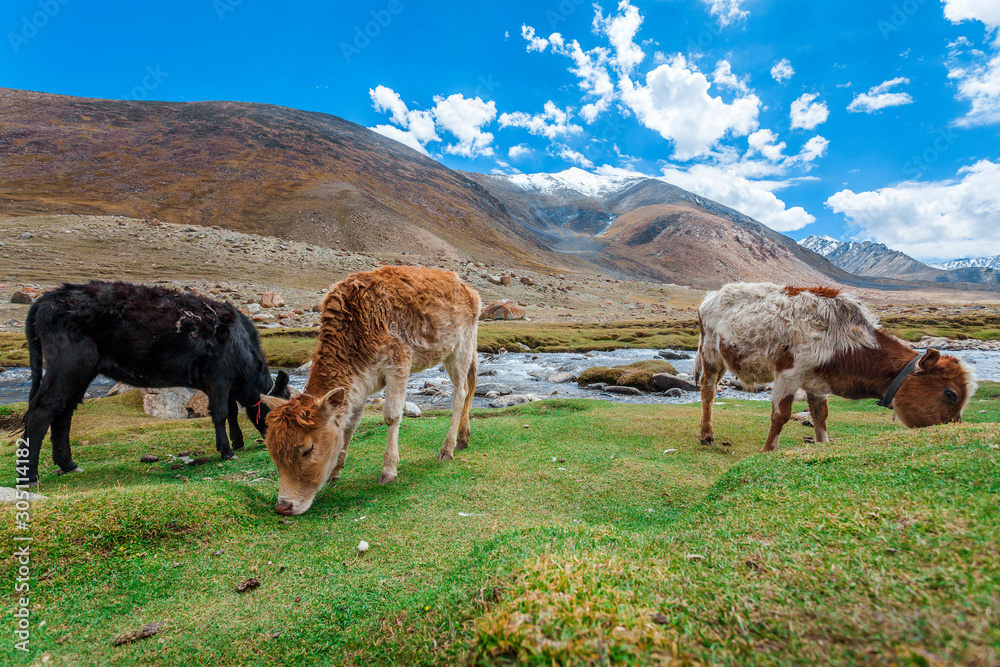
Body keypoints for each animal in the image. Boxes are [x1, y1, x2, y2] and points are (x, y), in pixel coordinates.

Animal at [20, 281, 291, 486]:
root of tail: (45, 300)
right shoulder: (219, 377)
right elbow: (221, 412)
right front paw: (227, 451)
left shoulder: (223, 383)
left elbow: (232, 411)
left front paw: (237, 442)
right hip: (68, 365)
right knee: (42, 409)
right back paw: (30, 475)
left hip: (83, 372)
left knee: (64, 412)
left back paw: (68, 464)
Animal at [258, 266, 480, 516]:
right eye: (272, 452)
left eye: (307, 449)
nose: (283, 506)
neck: (356, 330)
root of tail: (468, 289)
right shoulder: (360, 384)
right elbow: (351, 422)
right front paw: (336, 470)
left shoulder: (399, 363)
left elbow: (392, 415)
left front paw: (388, 470)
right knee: (470, 386)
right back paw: (463, 438)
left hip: (461, 347)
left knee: (461, 392)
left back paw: (447, 448)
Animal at [695, 283, 977, 451]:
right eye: (950, 394)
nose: (954, 429)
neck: (843, 340)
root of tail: (711, 295)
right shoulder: (788, 373)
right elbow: (781, 415)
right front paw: (768, 451)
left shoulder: (816, 382)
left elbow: (820, 415)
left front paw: (822, 446)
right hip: (711, 353)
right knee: (708, 391)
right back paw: (707, 434)